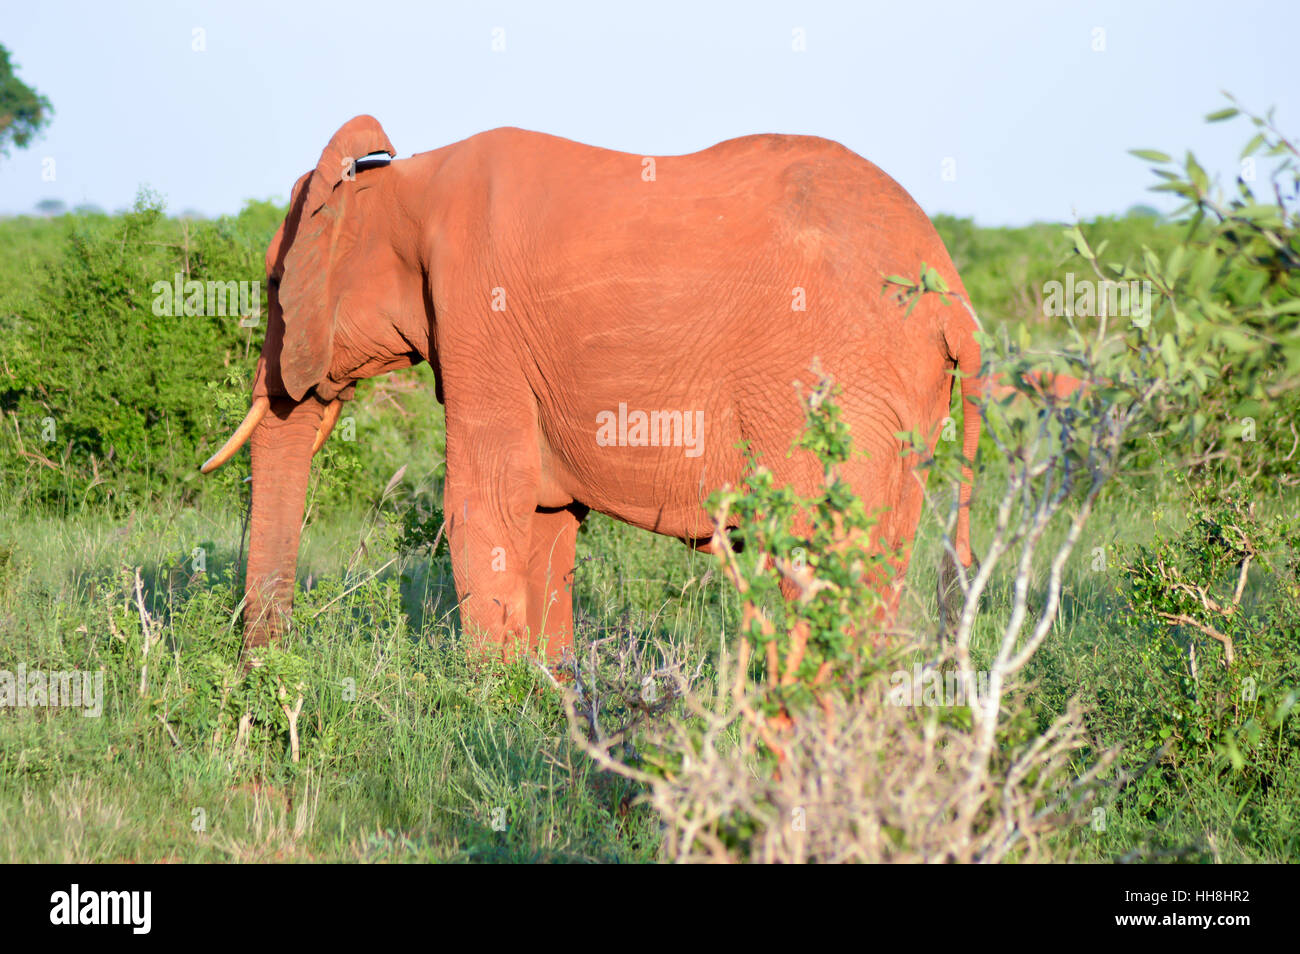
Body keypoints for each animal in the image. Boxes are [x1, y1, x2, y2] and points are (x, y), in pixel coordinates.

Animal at [200, 115, 983, 661]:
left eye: (274, 282)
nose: (265, 671)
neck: (404, 184)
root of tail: (953, 293)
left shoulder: (479, 314)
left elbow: (482, 501)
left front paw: (489, 700)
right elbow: (547, 515)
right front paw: (546, 695)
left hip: (831, 386)